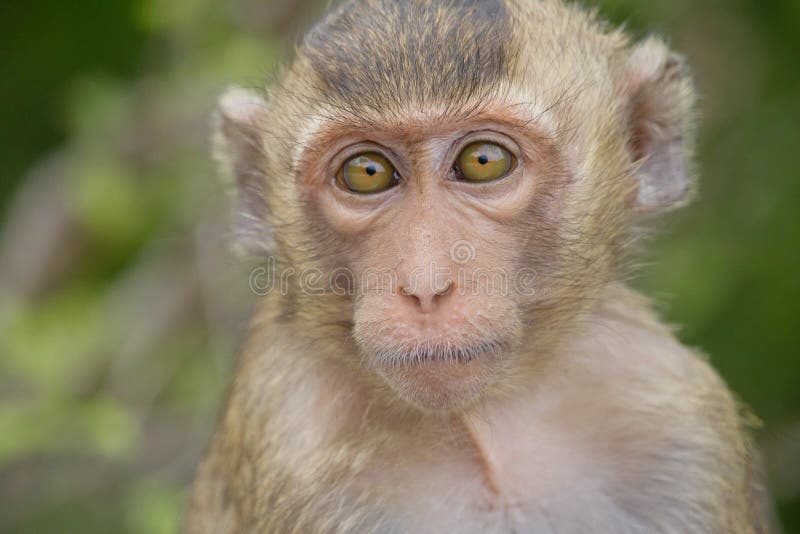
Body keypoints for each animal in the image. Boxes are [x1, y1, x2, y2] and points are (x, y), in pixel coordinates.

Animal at [185, 0, 775, 532]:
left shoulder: (683, 421)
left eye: (483, 161)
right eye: (367, 172)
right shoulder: (294, 449)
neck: (486, 425)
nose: (425, 286)